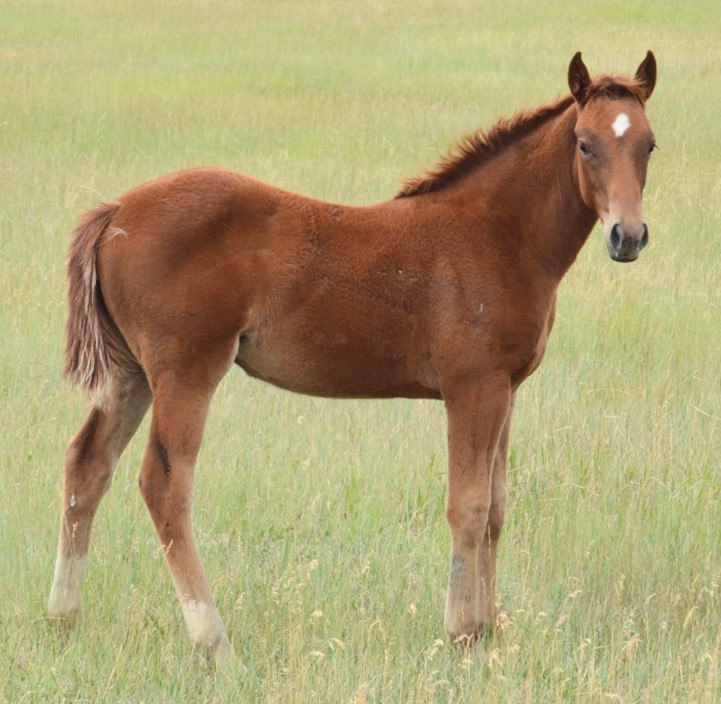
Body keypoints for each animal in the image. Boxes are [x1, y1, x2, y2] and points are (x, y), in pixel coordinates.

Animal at [48, 52, 657, 663]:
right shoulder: (473, 387)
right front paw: (461, 633)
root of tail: (116, 209)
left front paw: (490, 630)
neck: (498, 237)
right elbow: (467, 506)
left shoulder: (507, 389)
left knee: (87, 465)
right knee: (164, 485)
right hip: (186, 371)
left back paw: (64, 617)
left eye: (649, 145)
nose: (627, 236)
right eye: (584, 144)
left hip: (131, 375)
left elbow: (496, 509)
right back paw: (214, 642)